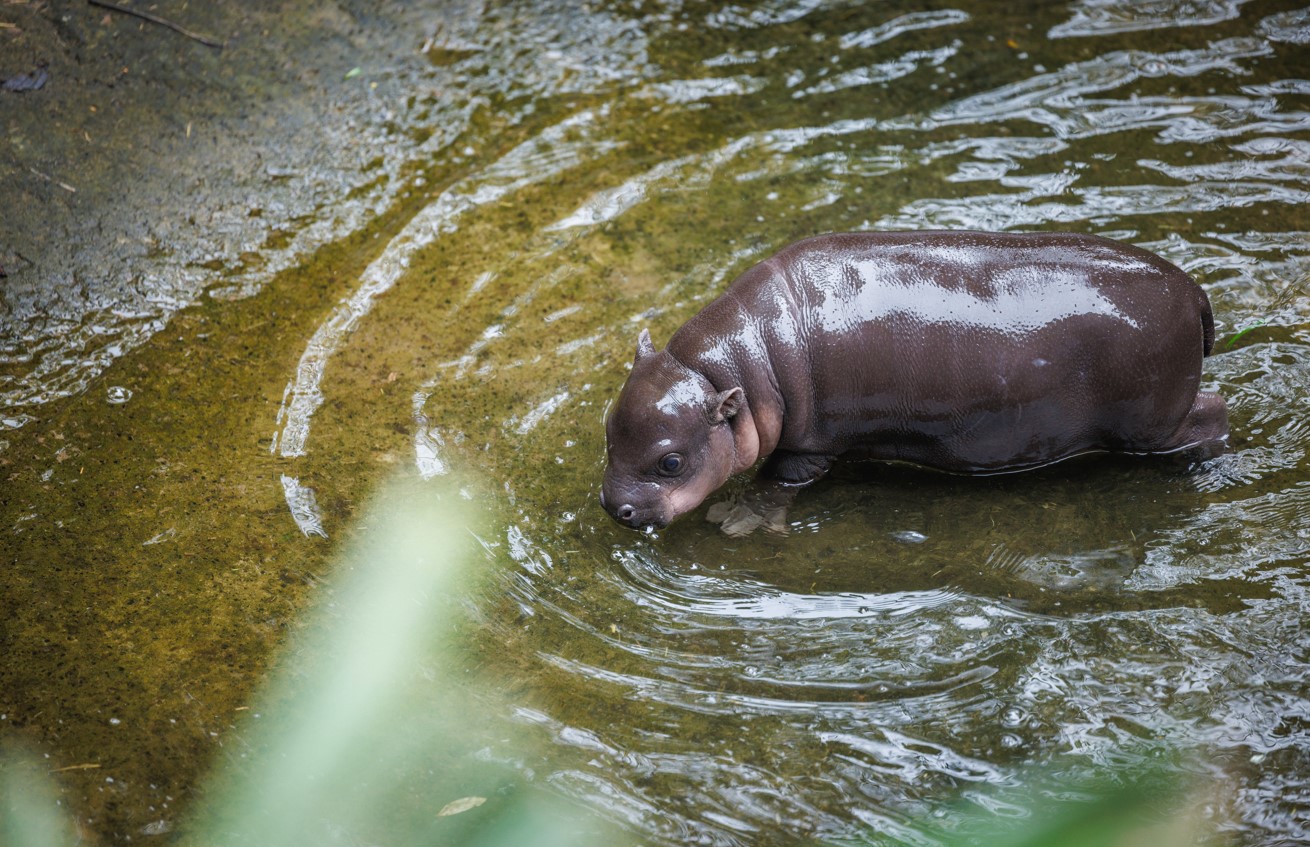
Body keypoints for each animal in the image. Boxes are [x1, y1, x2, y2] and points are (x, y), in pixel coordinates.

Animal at [601, 231, 1229, 536]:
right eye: (607, 426)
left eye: (671, 463)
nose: (614, 507)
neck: (742, 366)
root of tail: (1192, 290)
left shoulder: (809, 446)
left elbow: (775, 483)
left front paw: (734, 520)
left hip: (1153, 421)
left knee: (1214, 412)